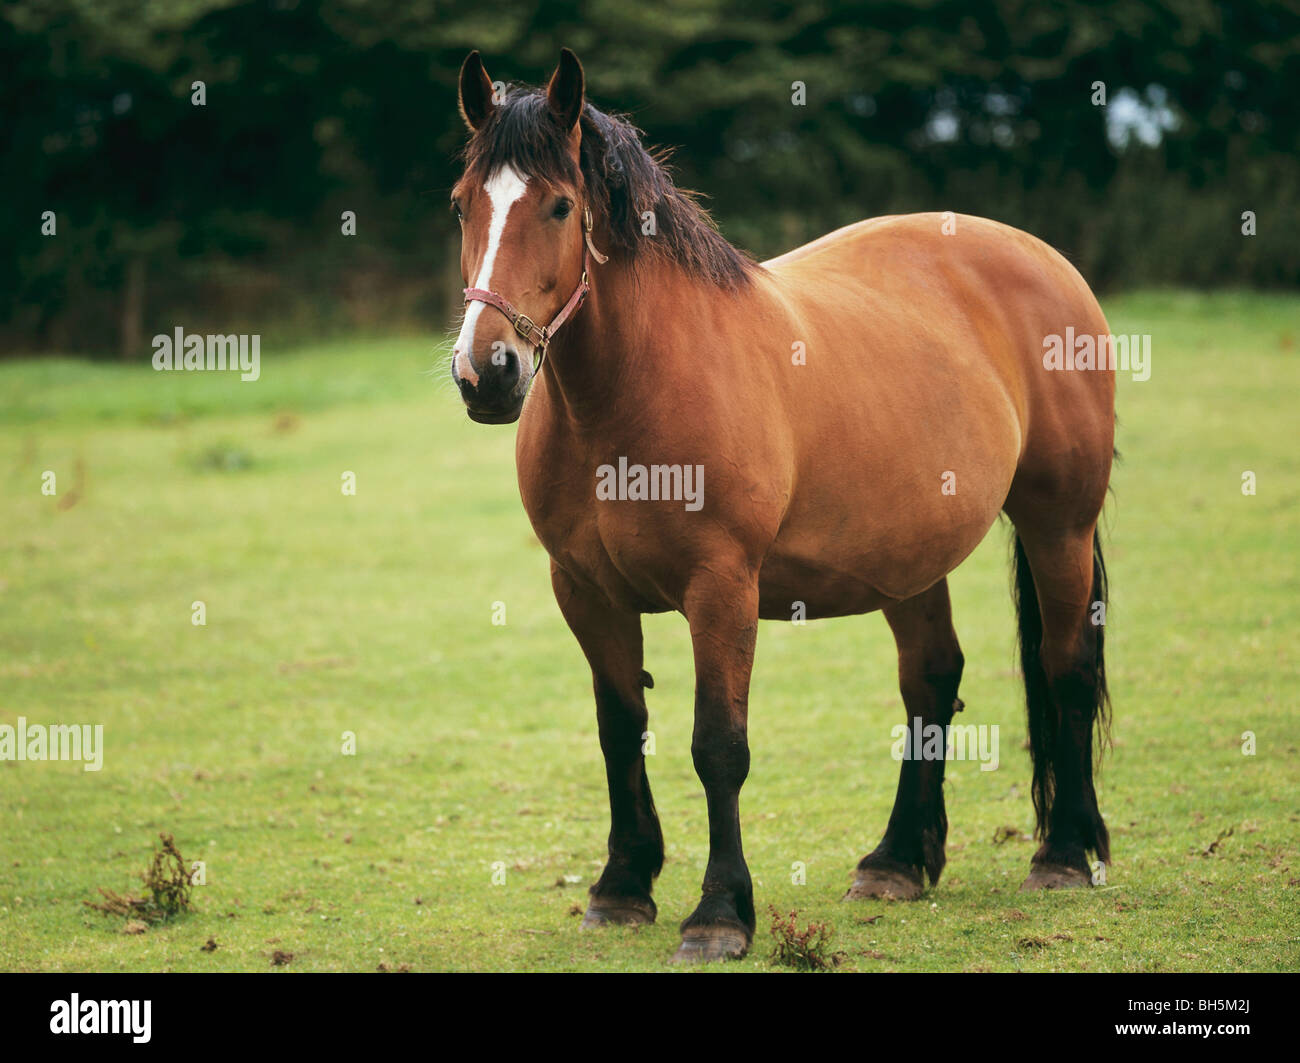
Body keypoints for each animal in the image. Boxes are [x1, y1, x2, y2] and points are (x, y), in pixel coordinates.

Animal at [448, 48, 1115, 964]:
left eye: (558, 205)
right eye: (463, 204)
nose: (487, 372)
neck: (632, 385)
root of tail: (1045, 261)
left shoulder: (722, 587)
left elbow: (717, 746)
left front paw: (719, 913)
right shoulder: (585, 592)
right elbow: (621, 728)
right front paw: (621, 886)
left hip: (1060, 526)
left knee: (1065, 666)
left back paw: (1064, 854)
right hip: (909, 558)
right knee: (931, 679)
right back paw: (897, 861)